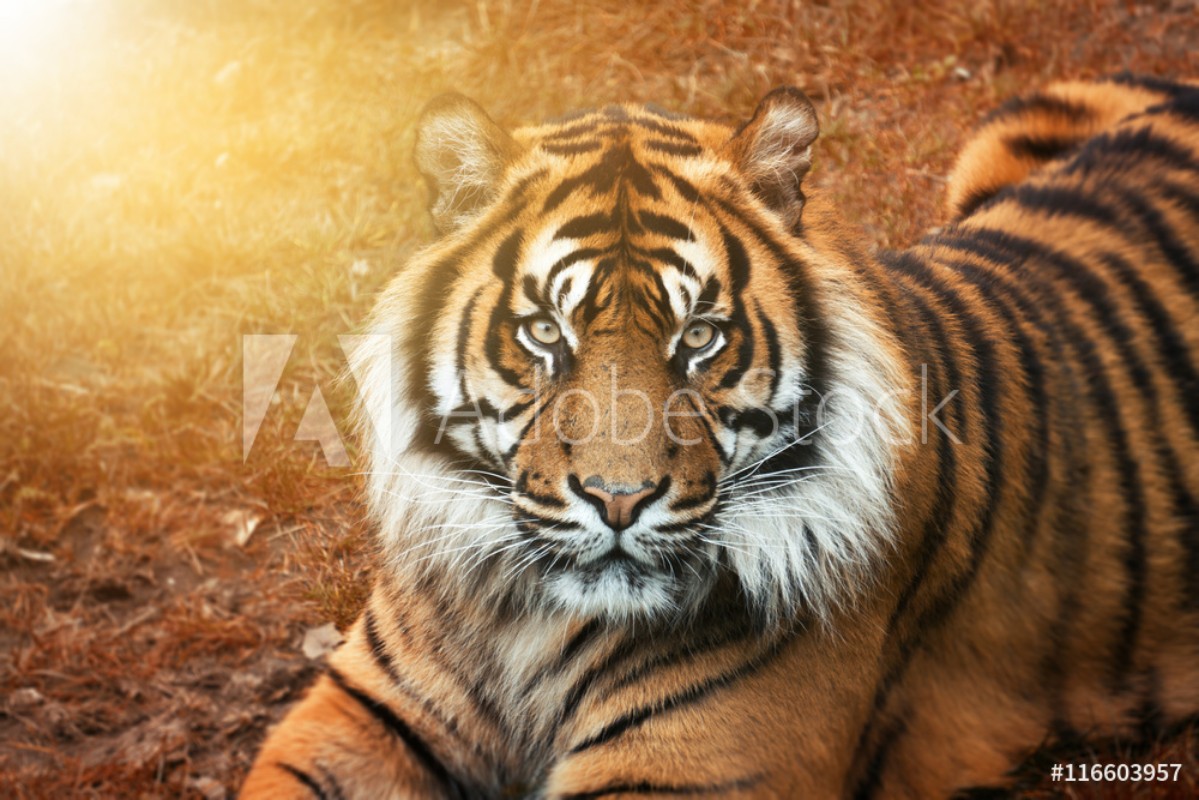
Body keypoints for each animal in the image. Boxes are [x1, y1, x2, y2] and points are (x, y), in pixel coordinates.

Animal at [241, 74, 1199, 798]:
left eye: (698, 336)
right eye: (545, 332)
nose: (617, 502)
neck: (528, 621)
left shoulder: (687, 771)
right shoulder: (360, 710)